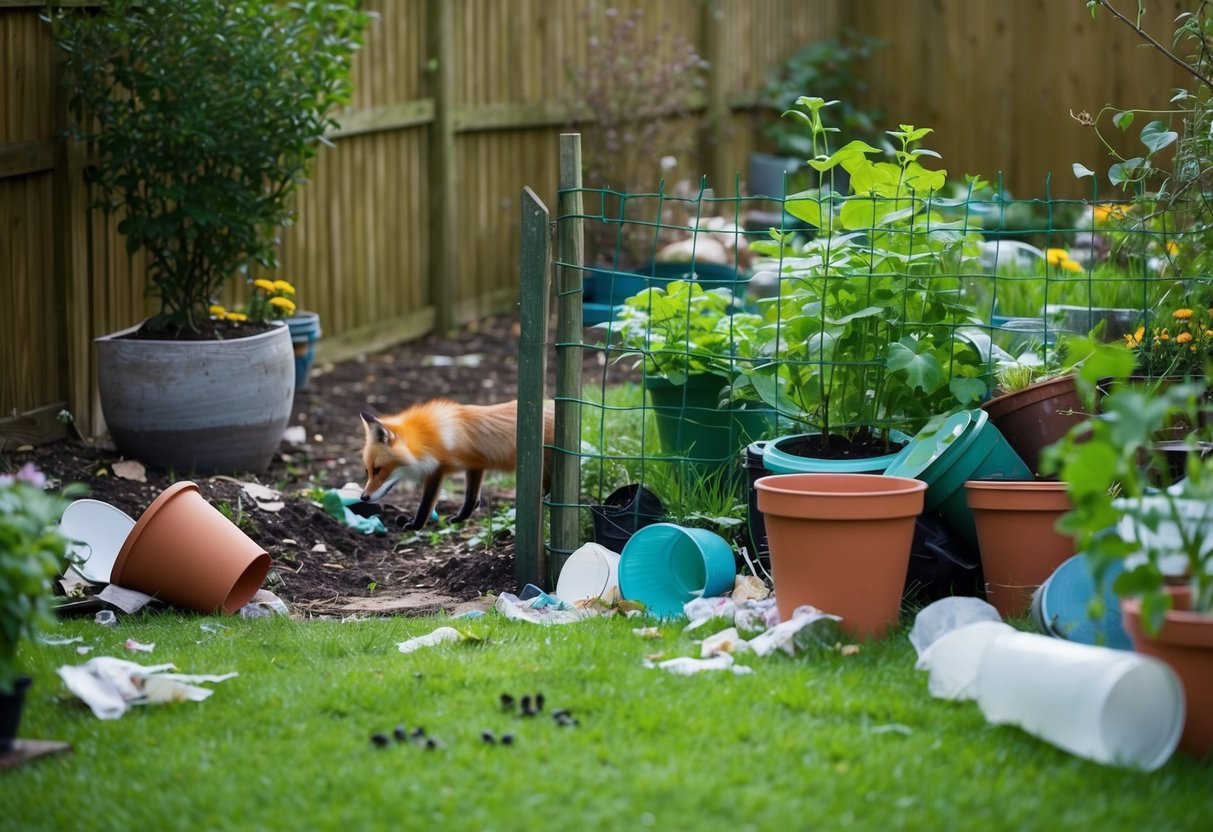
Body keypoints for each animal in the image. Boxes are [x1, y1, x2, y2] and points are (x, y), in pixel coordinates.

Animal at [359, 398, 555, 530]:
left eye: (378, 469)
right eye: (368, 471)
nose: (363, 497)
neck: (429, 438)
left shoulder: (437, 471)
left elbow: (426, 504)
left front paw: (415, 525)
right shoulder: (475, 464)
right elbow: (471, 498)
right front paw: (462, 517)